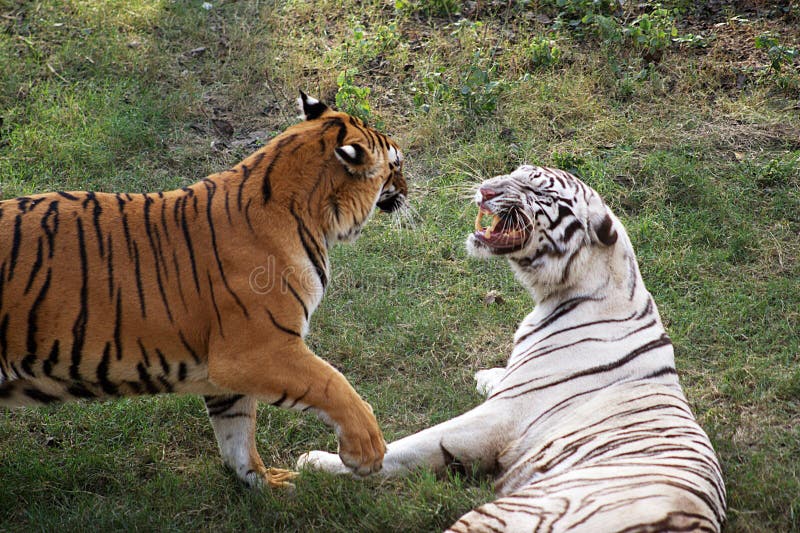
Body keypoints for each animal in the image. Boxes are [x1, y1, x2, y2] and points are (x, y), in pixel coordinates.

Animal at [0, 92, 405, 488]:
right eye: (395, 164)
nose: (407, 187)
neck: (313, 216)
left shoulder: (228, 369)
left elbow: (236, 432)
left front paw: (266, 483)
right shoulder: (258, 350)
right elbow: (331, 382)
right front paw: (366, 450)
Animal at [299, 165, 726, 532]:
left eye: (541, 192)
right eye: (516, 171)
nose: (486, 189)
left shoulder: (493, 420)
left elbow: (402, 448)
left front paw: (317, 461)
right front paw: (486, 374)